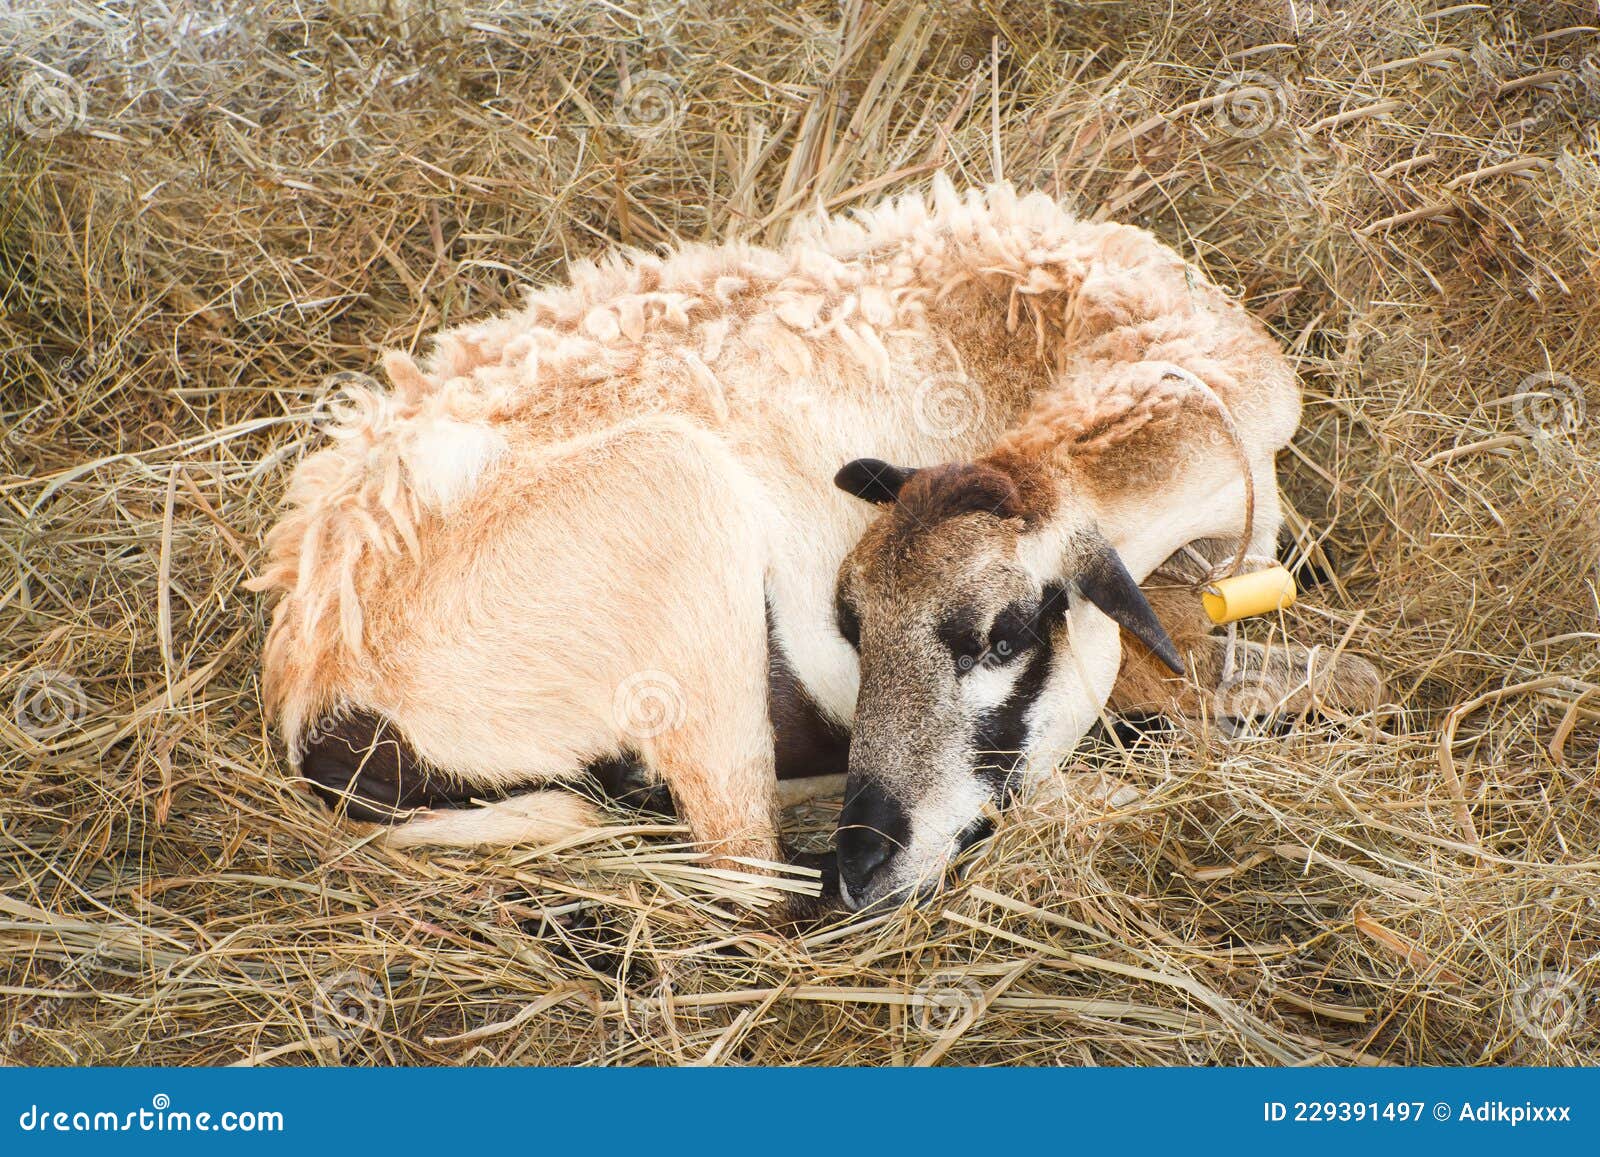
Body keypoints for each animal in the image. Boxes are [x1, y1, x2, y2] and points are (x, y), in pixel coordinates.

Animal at [250, 176, 1379, 914]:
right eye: (851, 621)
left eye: (1000, 635)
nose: (865, 864)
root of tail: (318, 685)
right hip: (682, 522)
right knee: (750, 894)